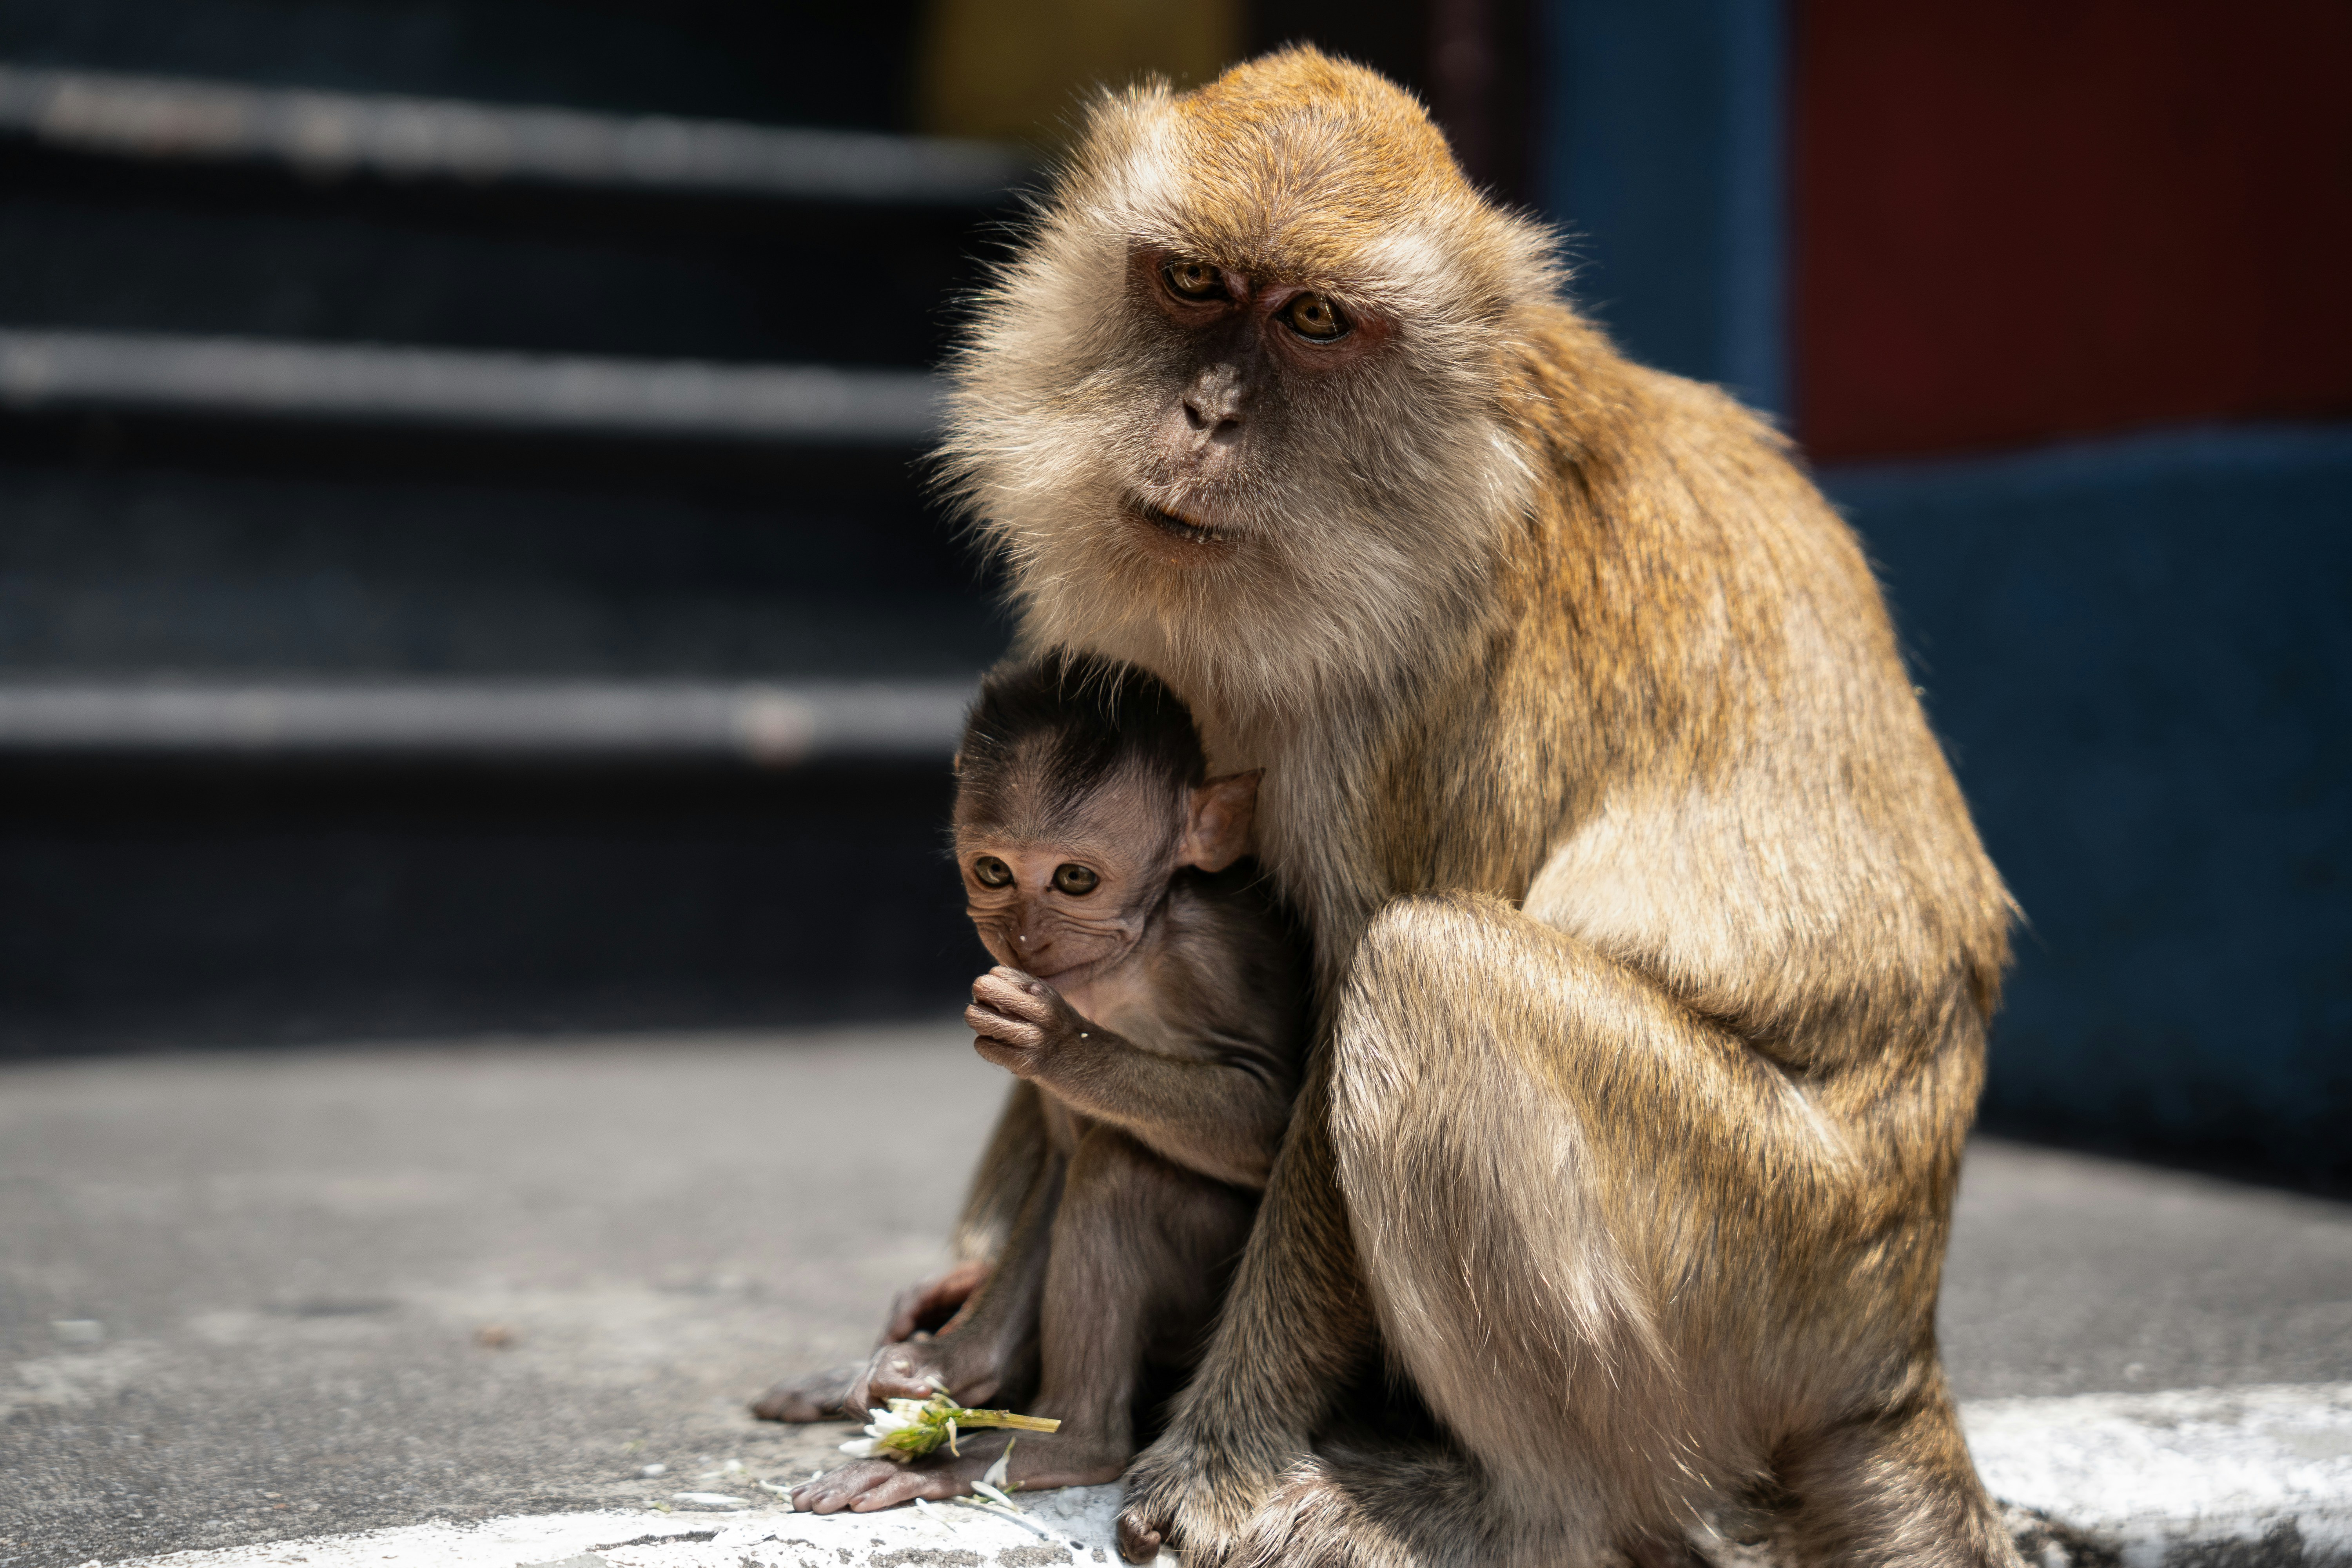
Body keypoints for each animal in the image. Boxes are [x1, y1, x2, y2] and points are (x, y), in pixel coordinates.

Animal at [761, 650, 1311, 1514]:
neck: (1126, 963)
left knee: (1119, 1170)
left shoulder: (1212, 955)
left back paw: (1057, 1444)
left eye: (1075, 879)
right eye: (994, 871)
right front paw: (943, 1366)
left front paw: (1062, 1044)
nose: (1024, 934)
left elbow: (1275, 1117)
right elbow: (1056, 1164)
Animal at [925, 46, 2022, 1568]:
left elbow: (1332, 1030)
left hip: (1768, 1271)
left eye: (1315, 319)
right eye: (1192, 283)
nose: (1206, 418)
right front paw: (960, 1362)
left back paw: (1528, 1511)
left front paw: (1213, 1462)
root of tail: (1900, 1344)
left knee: (1432, 977)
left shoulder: (1433, 697)